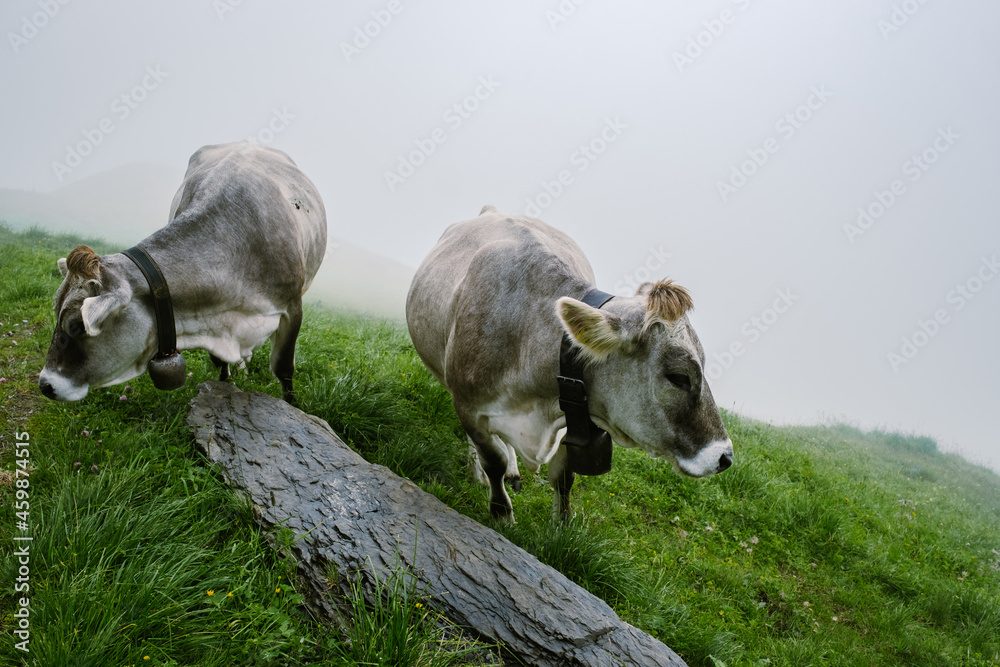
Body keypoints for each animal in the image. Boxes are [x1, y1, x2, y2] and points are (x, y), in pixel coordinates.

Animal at [38, 141, 326, 403]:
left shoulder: (292, 307)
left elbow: (283, 368)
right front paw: (225, 386)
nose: (45, 385)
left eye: (77, 325)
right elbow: (219, 361)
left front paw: (291, 405)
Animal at [406, 205, 733, 521]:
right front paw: (500, 512)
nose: (725, 456)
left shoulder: (572, 417)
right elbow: (493, 461)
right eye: (679, 377)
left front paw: (561, 525)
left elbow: (564, 477)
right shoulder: (469, 407)